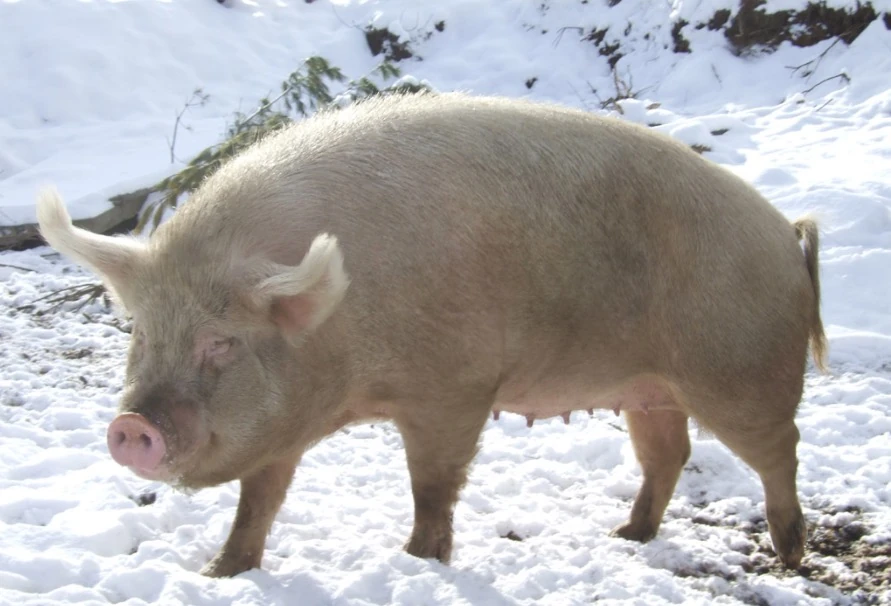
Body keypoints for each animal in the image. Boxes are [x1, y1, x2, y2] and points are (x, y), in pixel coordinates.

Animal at [36, 91, 826, 577]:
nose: (131, 426)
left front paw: (418, 561)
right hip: (649, 389)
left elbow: (432, 485)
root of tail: (783, 232)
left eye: (221, 342)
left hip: (745, 370)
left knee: (780, 449)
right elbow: (258, 498)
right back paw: (626, 537)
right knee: (670, 453)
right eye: (141, 334)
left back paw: (789, 556)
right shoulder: (287, 421)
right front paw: (219, 572)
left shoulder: (455, 388)